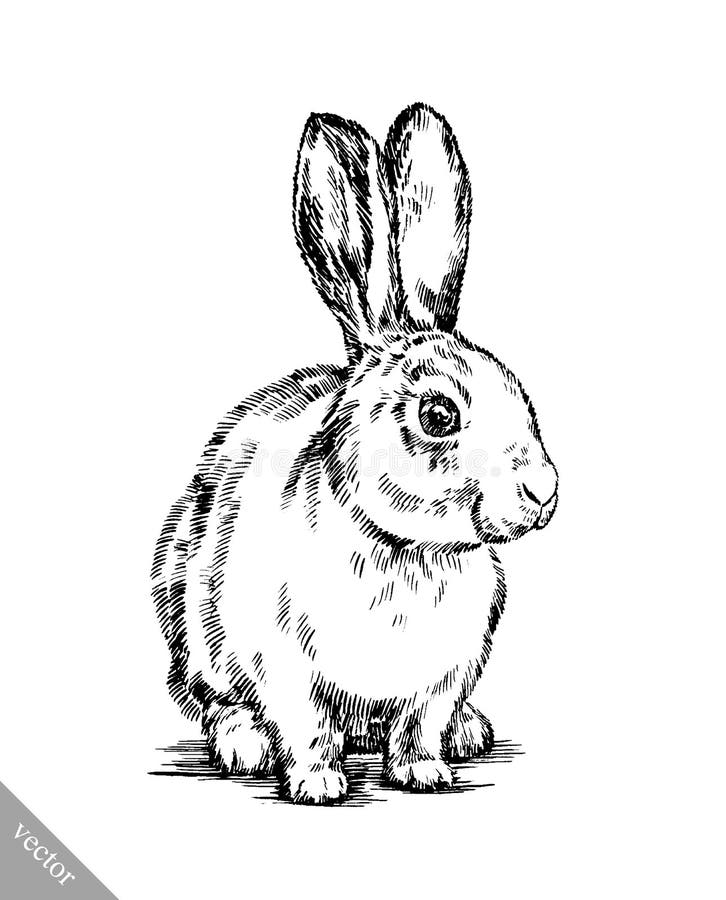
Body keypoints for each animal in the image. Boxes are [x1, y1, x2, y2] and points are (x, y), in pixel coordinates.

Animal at [151, 103, 558, 804]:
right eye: (438, 415)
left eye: (518, 393)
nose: (544, 489)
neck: (408, 548)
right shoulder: (285, 665)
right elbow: (307, 726)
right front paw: (317, 786)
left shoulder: (440, 680)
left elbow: (421, 725)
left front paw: (424, 773)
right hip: (192, 631)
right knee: (211, 702)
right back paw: (244, 745)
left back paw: (468, 733)